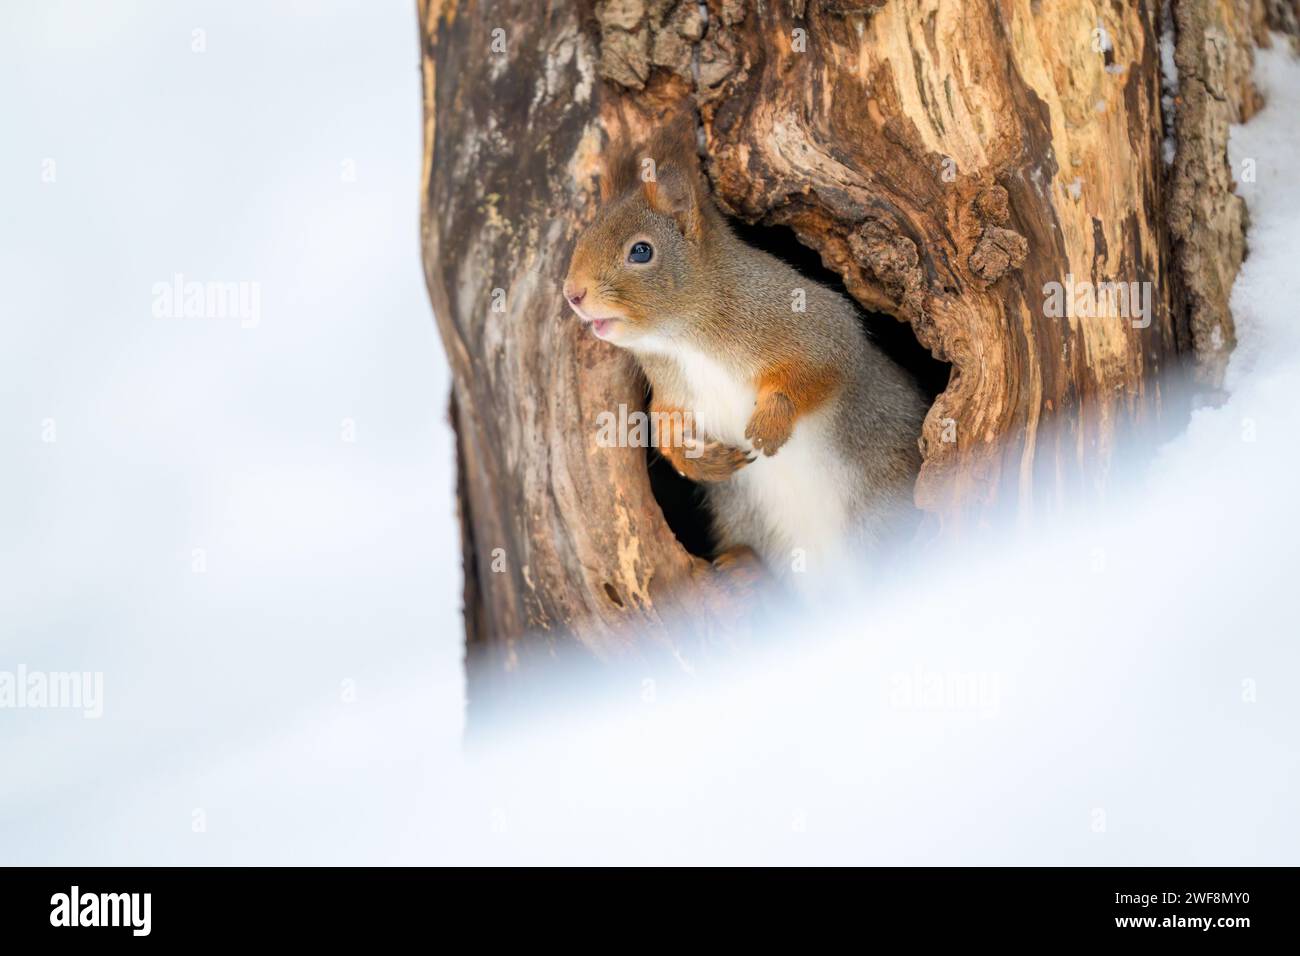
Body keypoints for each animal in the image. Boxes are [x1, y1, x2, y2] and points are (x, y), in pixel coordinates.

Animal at [563, 125, 927, 585]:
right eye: (584, 234)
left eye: (641, 251)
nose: (572, 293)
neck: (684, 341)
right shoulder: (675, 392)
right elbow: (663, 424)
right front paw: (697, 459)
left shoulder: (815, 324)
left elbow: (824, 367)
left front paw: (770, 422)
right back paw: (743, 568)